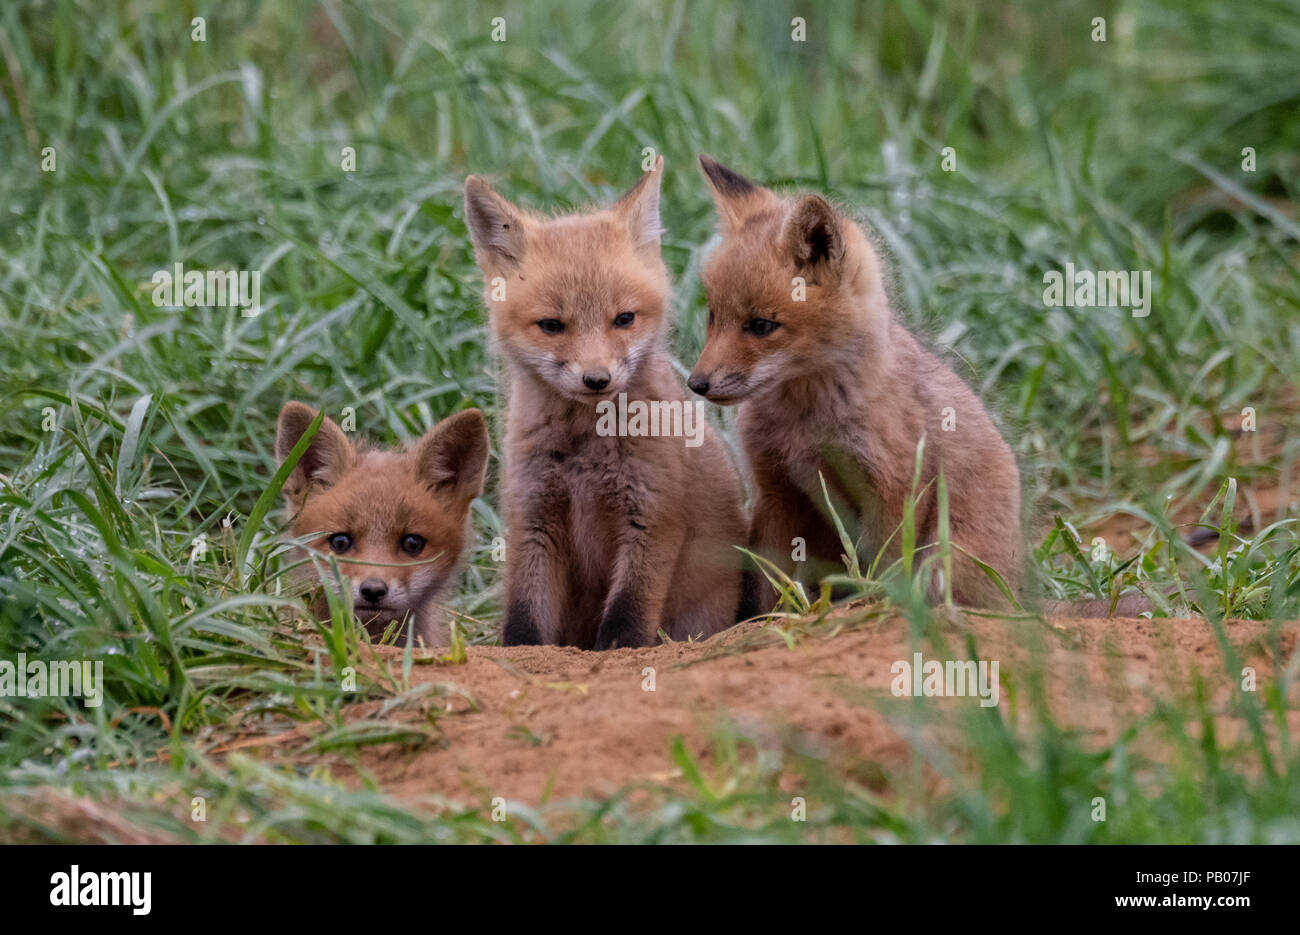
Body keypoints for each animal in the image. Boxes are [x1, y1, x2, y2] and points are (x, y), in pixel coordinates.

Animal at [463, 156, 750, 649]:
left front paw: (618, 649)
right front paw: (522, 654)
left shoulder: (652, 517)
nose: (596, 379)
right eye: (551, 325)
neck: (584, 452)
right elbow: (524, 615)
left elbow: (627, 615)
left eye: (624, 319)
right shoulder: (531, 516)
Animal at [686, 155, 1024, 611]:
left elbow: (888, 570)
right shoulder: (775, 490)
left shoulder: (894, 489)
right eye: (713, 316)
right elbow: (767, 588)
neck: (805, 422)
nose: (696, 384)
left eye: (760, 326)